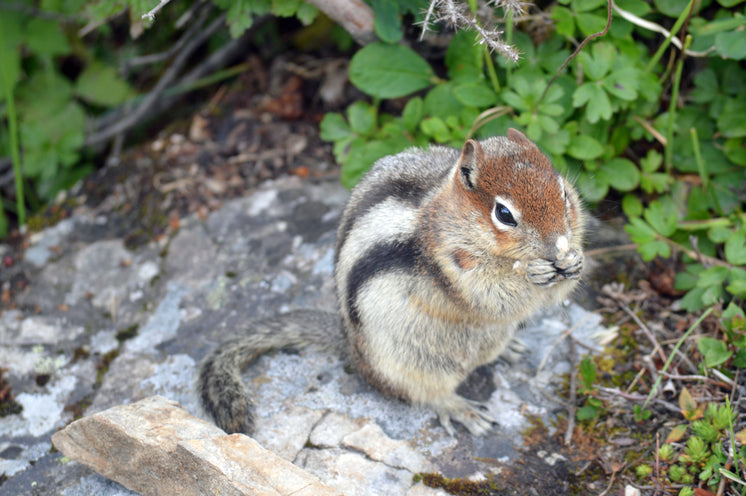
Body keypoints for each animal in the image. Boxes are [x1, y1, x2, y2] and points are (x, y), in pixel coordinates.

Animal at [199, 128, 585, 436]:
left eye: (564, 193)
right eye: (504, 214)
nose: (557, 244)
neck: (447, 213)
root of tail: (352, 350)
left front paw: (574, 261)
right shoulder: (451, 264)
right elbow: (490, 295)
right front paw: (530, 273)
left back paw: (509, 349)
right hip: (406, 365)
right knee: (424, 393)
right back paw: (460, 409)